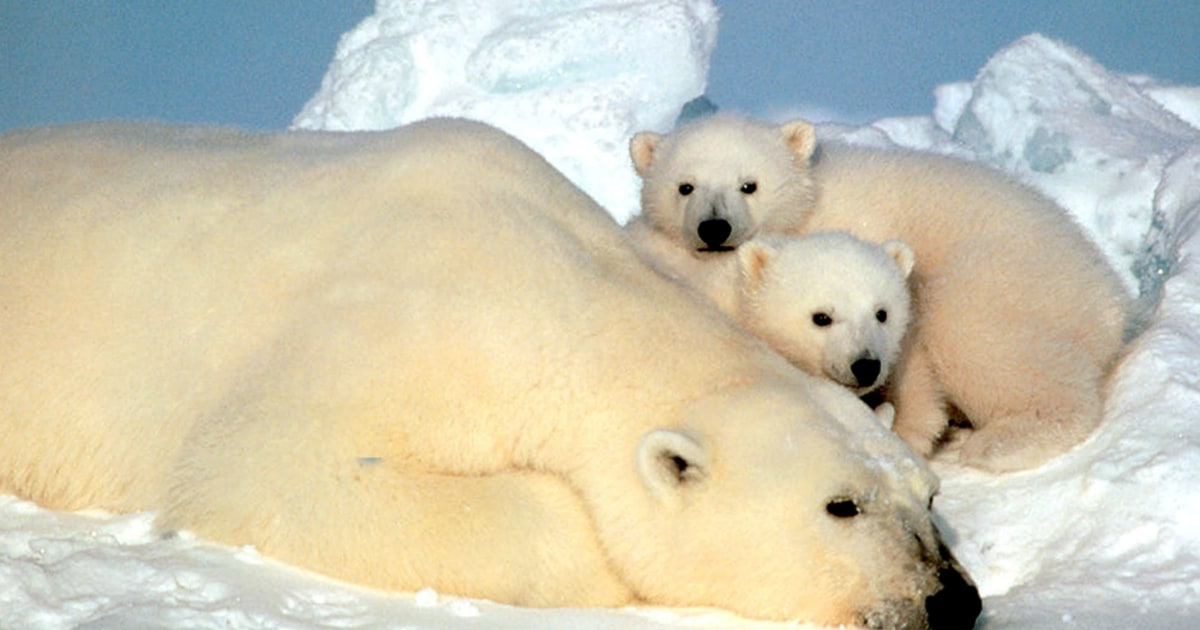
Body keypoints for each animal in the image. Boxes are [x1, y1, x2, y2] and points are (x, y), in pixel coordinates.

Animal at [627, 112, 1132, 472]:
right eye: (685, 186)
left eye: (748, 184)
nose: (714, 228)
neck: (809, 208)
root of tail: (1109, 297)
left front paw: (905, 429)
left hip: (1010, 275)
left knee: (979, 335)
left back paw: (1003, 442)